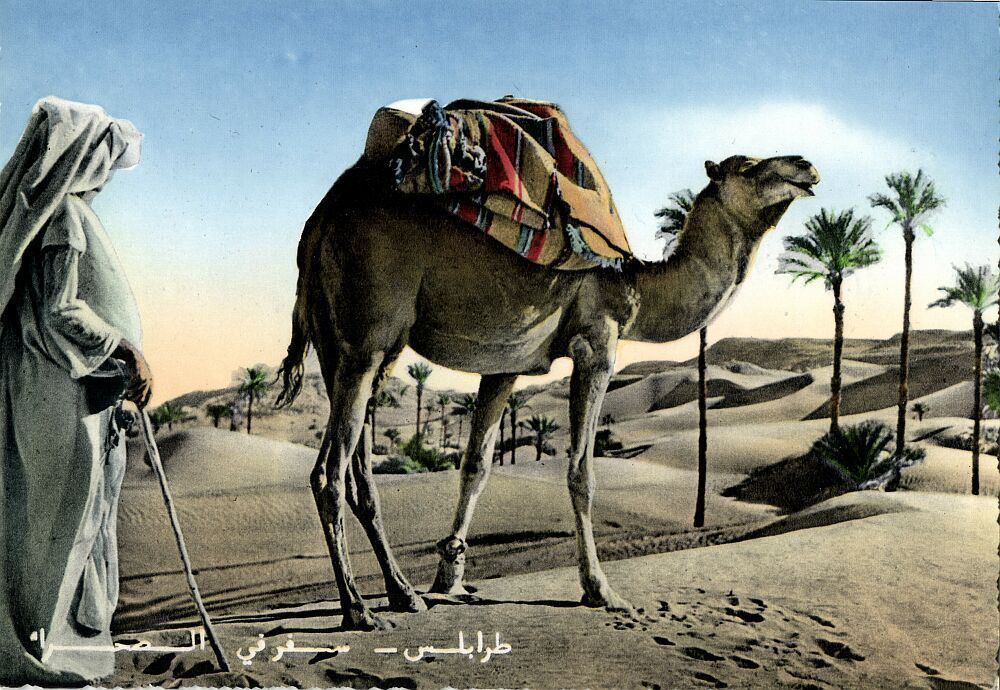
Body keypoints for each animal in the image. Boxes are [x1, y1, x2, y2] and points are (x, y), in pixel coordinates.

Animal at [276, 152, 819, 630]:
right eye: (747, 166)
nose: (805, 165)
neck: (634, 287)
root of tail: (319, 223)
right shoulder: (596, 346)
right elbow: (581, 470)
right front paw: (600, 589)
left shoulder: (506, 364)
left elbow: (476, 465)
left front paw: (450, 579)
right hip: (367, 337)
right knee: (327, 473)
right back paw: (358, 611)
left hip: (351, 347)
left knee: (359, 475)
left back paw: (403, 593)